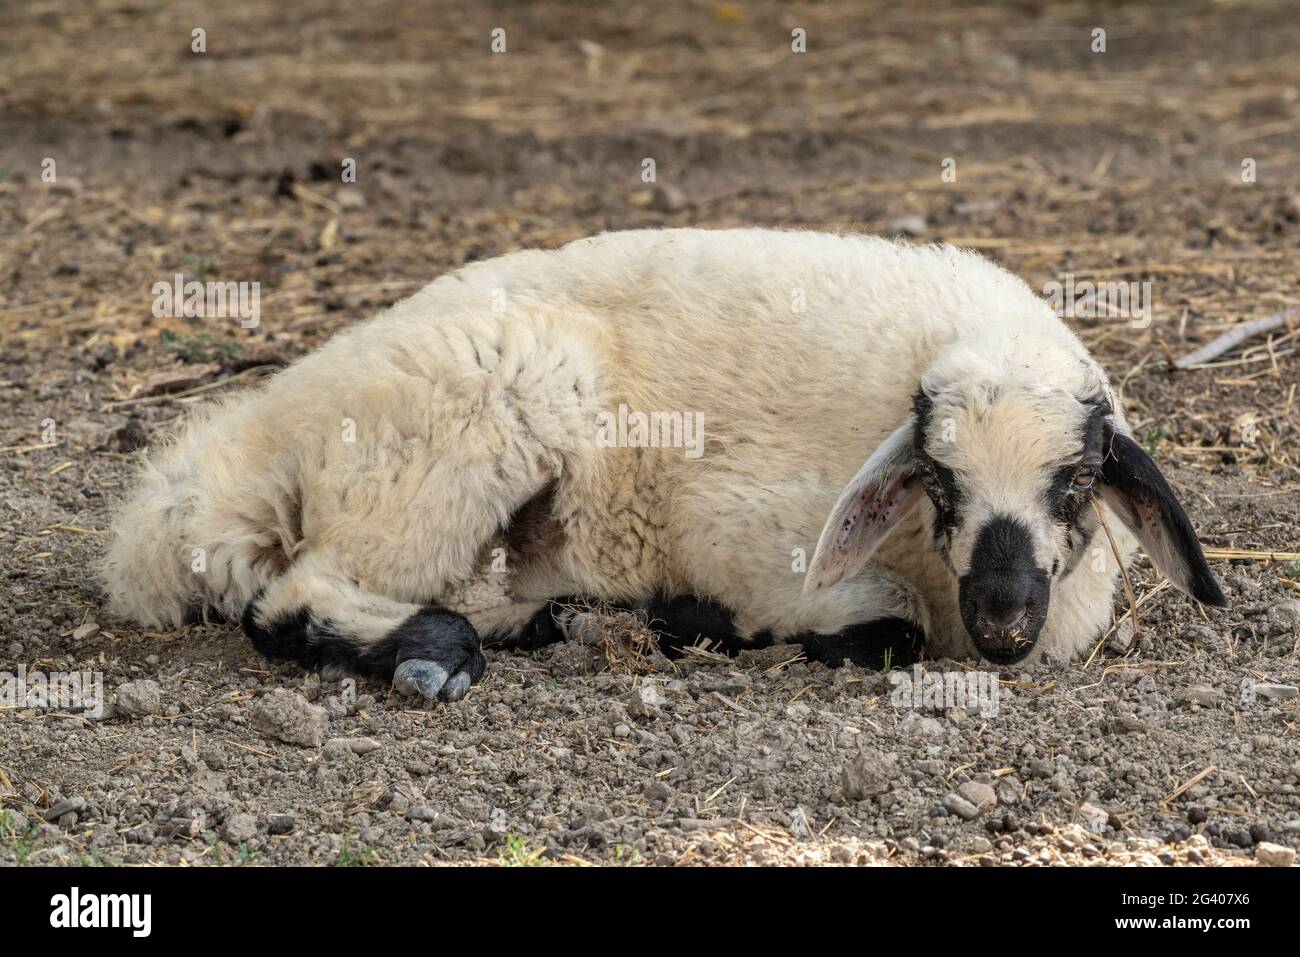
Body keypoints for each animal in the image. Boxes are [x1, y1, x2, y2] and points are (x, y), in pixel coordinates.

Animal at [102, 227, 1226, 701]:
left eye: (1076, 482)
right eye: (939, 480)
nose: (1003, 621)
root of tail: (265, 437)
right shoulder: (743, 529)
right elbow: (885, 629)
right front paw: (731, 623)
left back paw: (560, 622)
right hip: (479, 416)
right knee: (290, 601)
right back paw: (438, 654)